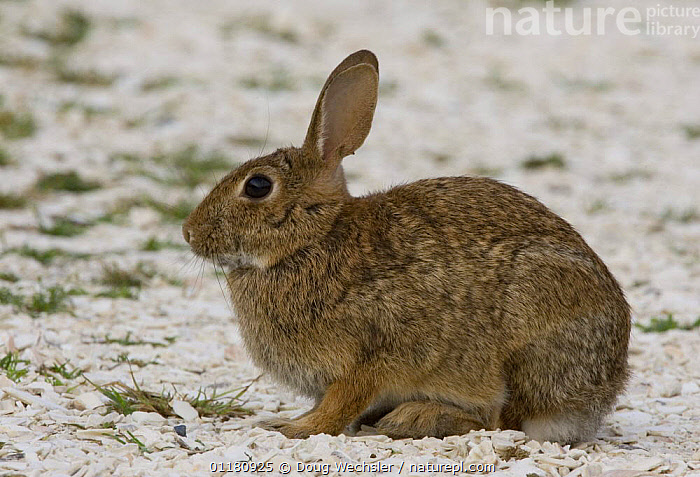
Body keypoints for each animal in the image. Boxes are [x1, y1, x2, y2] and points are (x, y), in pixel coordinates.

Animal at [182, 50, 631, 444]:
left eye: (257, 186)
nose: (188, 232)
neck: (312, 241)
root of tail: (603, 389)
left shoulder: (372, 354)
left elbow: (342, 403)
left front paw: (293, 427)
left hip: (523, 341)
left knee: (498, 419)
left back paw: (416, 418)